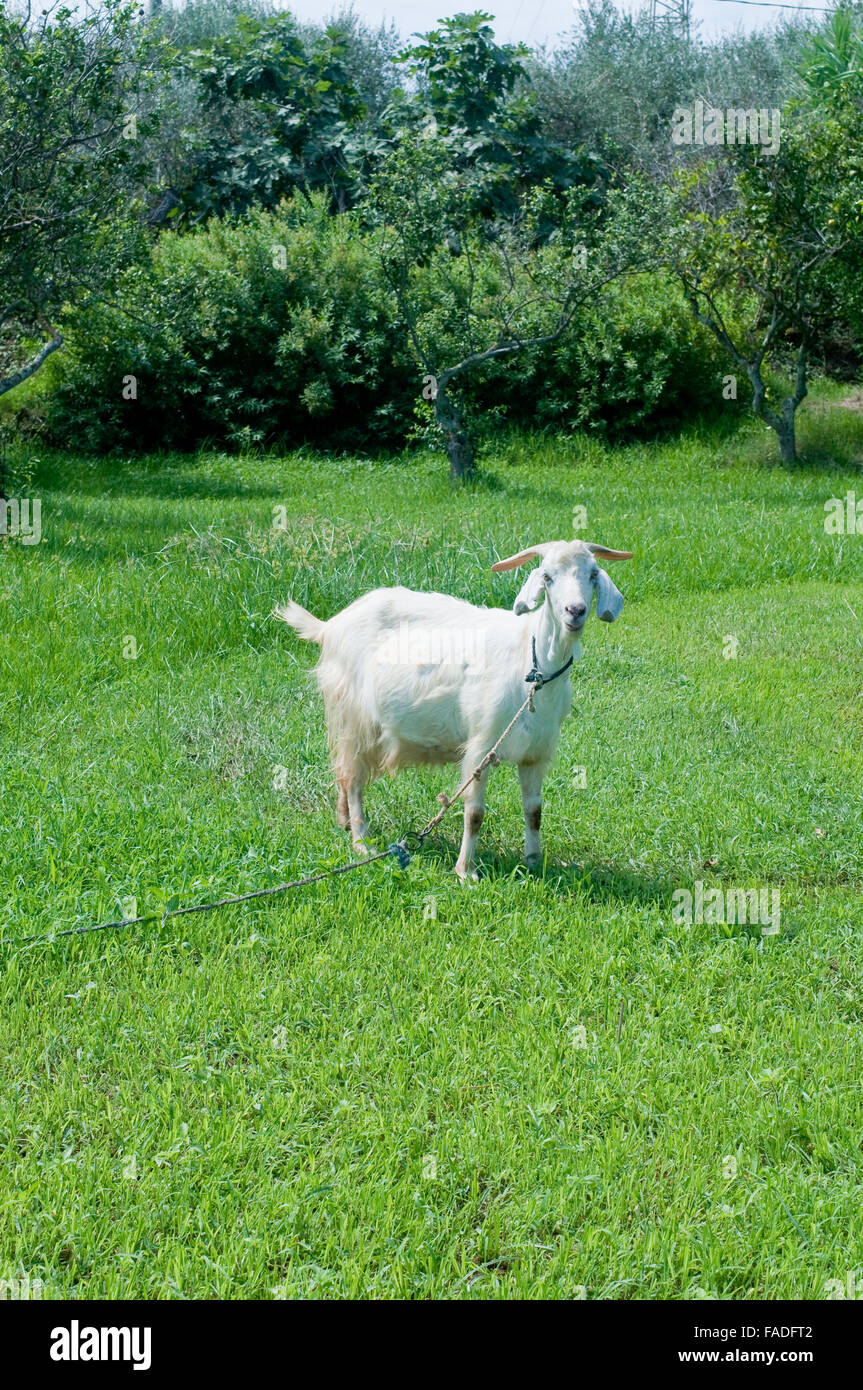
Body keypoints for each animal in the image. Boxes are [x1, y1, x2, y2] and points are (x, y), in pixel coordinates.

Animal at [275, 539, 632, 880]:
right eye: (547, 576)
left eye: (592, 575)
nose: (575, 610)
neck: (532, 664)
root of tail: (330, 626)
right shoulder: (482, 745)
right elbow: (474, 813)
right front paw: (466, 871)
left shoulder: (536, 752)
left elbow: (534, 811)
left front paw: (533, 863)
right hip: (355, 717)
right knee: (353, 778)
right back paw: (361, 841)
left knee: (343, 769)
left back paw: (345, 822)